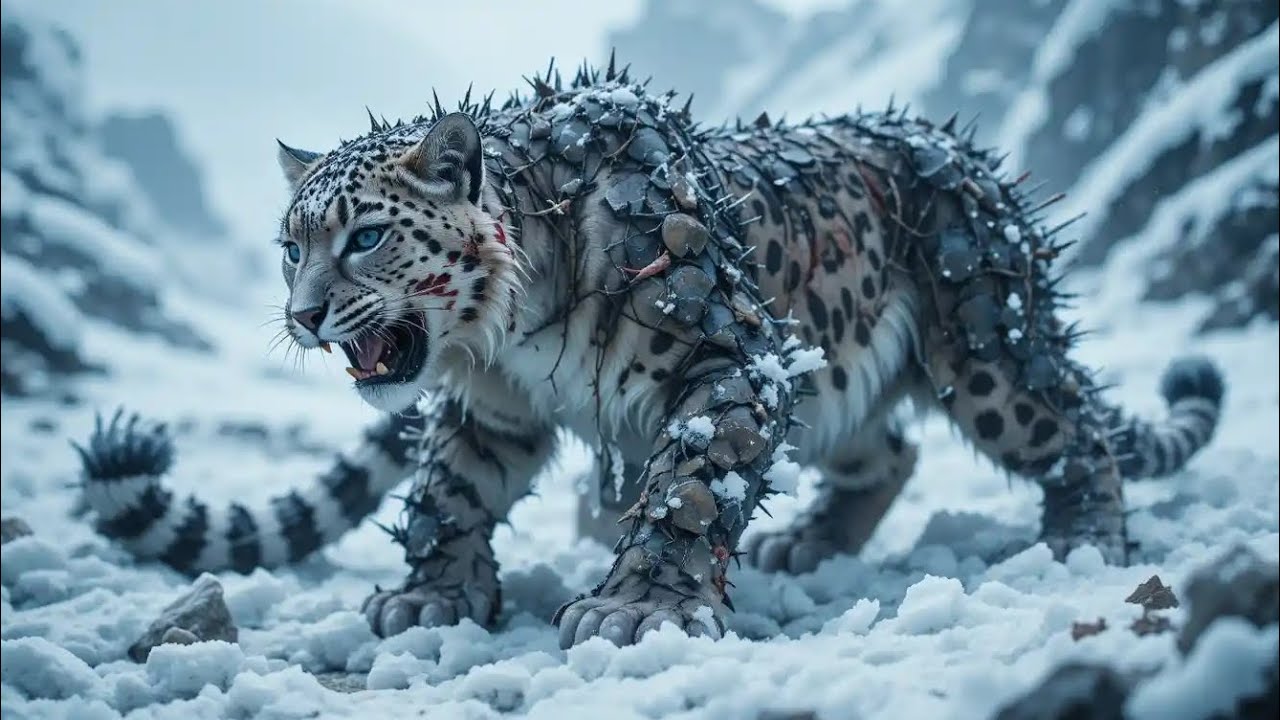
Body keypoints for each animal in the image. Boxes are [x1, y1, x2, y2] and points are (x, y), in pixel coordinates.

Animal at [73, 59, 1224, 649]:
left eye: (362, 237)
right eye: (288, 247)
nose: (307, 315)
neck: (510, 333)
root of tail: (975, 163)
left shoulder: (734, 360)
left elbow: (689, 486)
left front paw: (636, 608)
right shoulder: (494, 409)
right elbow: (448, 492)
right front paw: (430, 597)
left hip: (982, 344)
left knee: (1068, 424)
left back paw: (1081, 540)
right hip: (835, 375)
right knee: (885, 451)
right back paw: (808, 542)